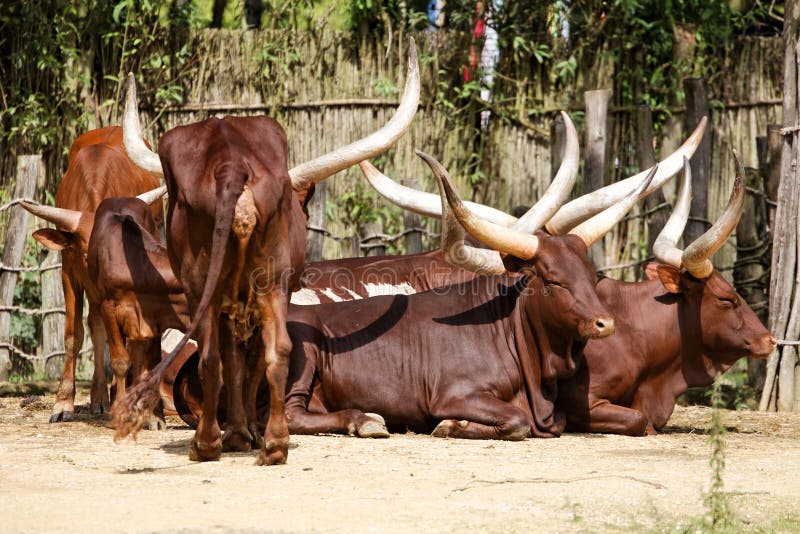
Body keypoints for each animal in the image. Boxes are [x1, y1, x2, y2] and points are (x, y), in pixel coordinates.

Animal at [22, 127, 163, 423]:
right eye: (89, 252)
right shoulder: (69, 273)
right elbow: (73, 336)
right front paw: (63, 403)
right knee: (95, 325)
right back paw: (99, 397)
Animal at [111, 40, 420, 465]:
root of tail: (231, 164)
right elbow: (250, 361)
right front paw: (248, 432)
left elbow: (233, 360)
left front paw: (238, 433)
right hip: (273, 284)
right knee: (276, 352)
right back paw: (274, 443)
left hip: (202, 288)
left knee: (212, 356)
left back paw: (207, 444)